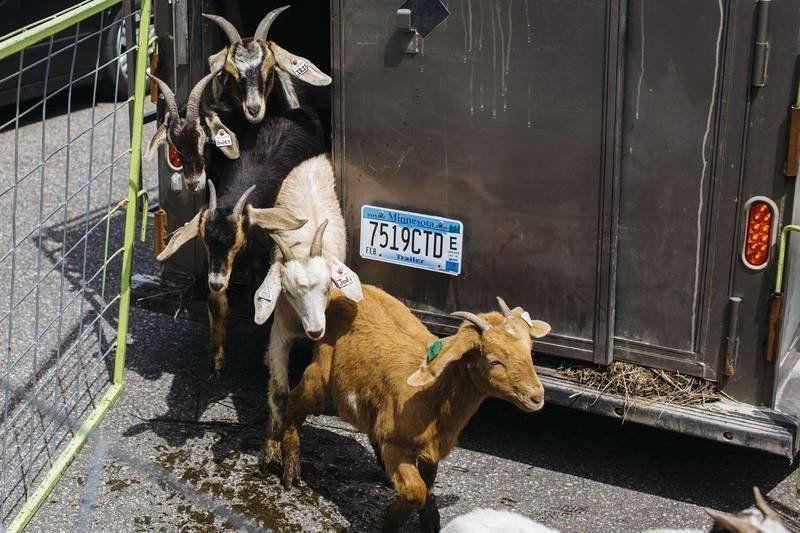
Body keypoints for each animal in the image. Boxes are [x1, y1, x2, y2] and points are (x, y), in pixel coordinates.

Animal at [247, 154, 363, 458]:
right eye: (287, 292)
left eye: (328, 287)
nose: (315, 330)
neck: (304, 244)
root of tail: (316, 159)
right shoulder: (280, 331)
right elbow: (278, 392)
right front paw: (272, 448)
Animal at [277, 286, 550, 532]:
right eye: (494, 361)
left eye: (530, 351)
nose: (537, 397)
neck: (433, 395)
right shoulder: (395, 445)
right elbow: (416, 491)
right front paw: (388, 522)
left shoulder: (431, 449)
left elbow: (427, 485)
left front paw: (430, 520)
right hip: (320, 376)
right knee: (293, 402)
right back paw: (289, 470)